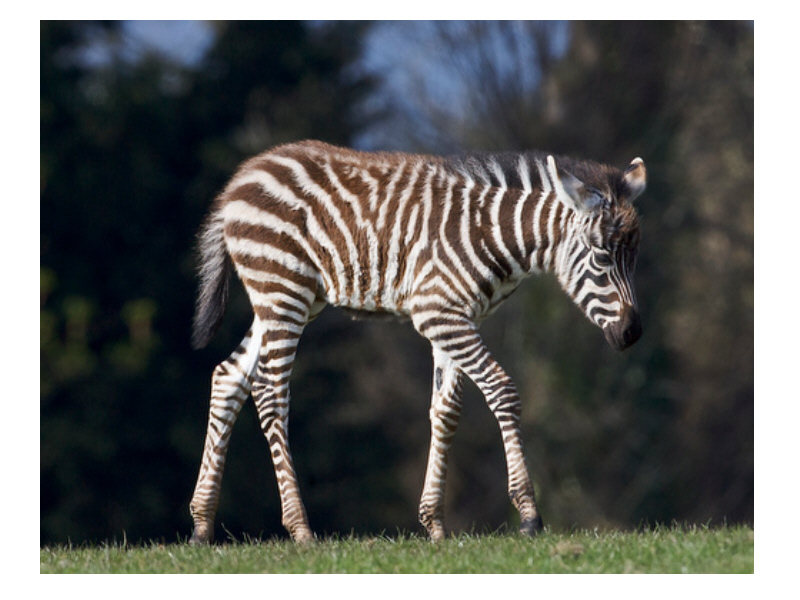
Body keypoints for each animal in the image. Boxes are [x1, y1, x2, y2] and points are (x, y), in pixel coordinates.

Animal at [188, 140, 646, 543]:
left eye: (635, 257)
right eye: (602, 257)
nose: (632, 334)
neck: (493, 234)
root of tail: (243, 176)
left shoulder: (456, 318)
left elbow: (445, 412)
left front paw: (434, 525)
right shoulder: (438, 313)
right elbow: (502, 389)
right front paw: (530, 515)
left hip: (284, 301)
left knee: (229, 376)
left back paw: (201, 526)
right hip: (283, 291)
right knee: (270, 393)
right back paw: (300, 529)